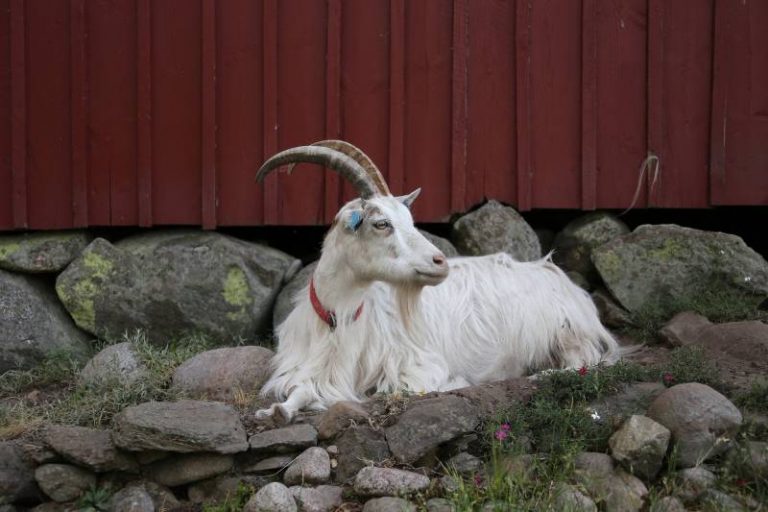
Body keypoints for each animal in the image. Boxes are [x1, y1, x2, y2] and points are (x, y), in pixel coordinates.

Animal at [255, 140, 622, 421]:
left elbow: (401, 387)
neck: (339, 318)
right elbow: (301, 389)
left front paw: (455, 383)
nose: (439, 262)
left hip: (566, 334)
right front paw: (278, 411)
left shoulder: (418, 365)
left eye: (410, 219)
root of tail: (565, 283)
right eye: (381, 223)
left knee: (581, 364)